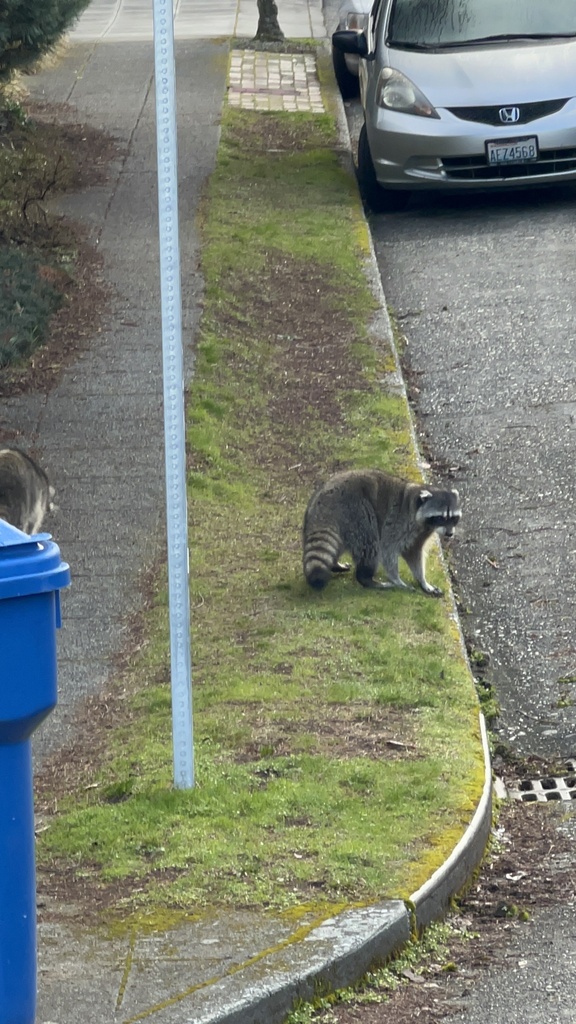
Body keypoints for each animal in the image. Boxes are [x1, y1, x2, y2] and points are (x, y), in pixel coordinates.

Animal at [302, 469, 461, 597]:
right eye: (440, 518)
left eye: (453, 518)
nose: (449, 534)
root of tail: (326, 496)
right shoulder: (400, 524)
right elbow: (388, 549)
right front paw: (396, 580)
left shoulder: (421, 532)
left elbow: (413, 553)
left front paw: (422, 581)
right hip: (356, 510)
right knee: (370, 544)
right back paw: (366, 578)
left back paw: (335, 564)